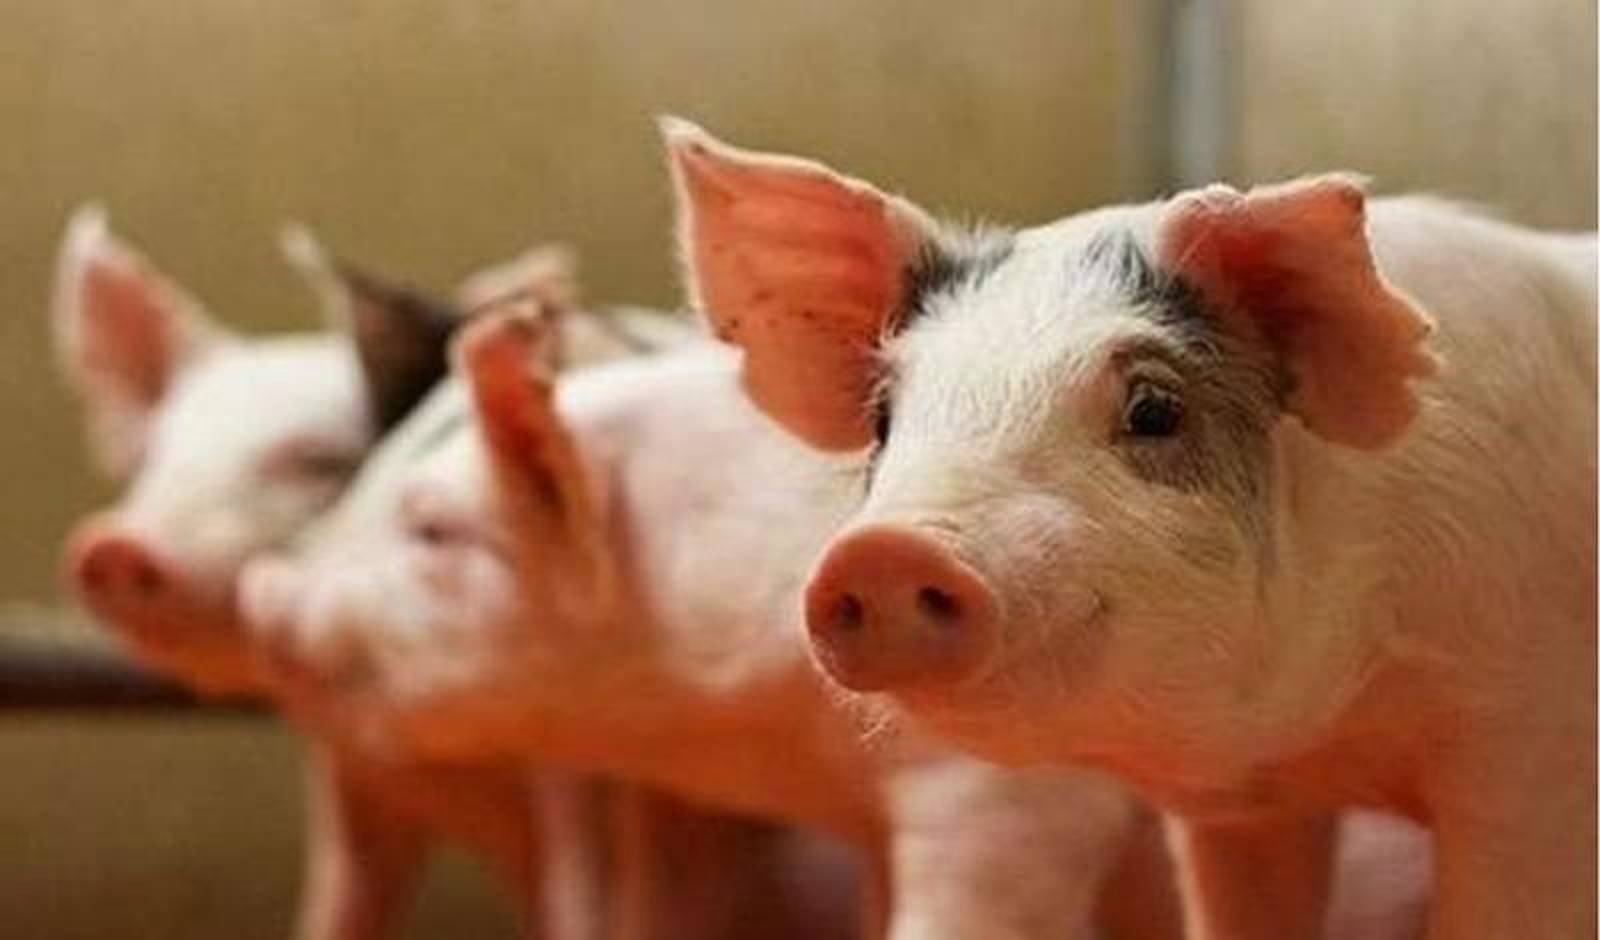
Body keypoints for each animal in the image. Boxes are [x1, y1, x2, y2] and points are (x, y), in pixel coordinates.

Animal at [662, 119, 1595, 939]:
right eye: (885, 418)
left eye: (1153, 409)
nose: (883, 552)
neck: (1337, 736)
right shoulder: (1247, 815)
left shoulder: (1530, 751)